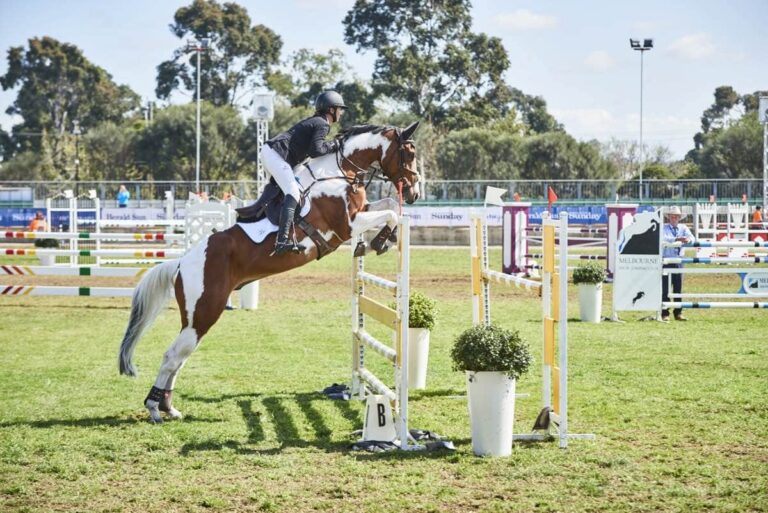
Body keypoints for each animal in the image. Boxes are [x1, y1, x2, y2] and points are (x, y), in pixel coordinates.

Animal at [118, 122, 421, 423]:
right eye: (409, 153)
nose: (415, 193)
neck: (339, 171)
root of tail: (181, 264)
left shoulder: (360, 212)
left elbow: (388, 206)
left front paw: (378, 241)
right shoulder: (347, 225)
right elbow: (390, 212)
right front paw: (379, 241)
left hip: (196, 320)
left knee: (180, 359)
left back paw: (169, 407)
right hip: (203, 314)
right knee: (172, 357)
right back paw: (154, 408)